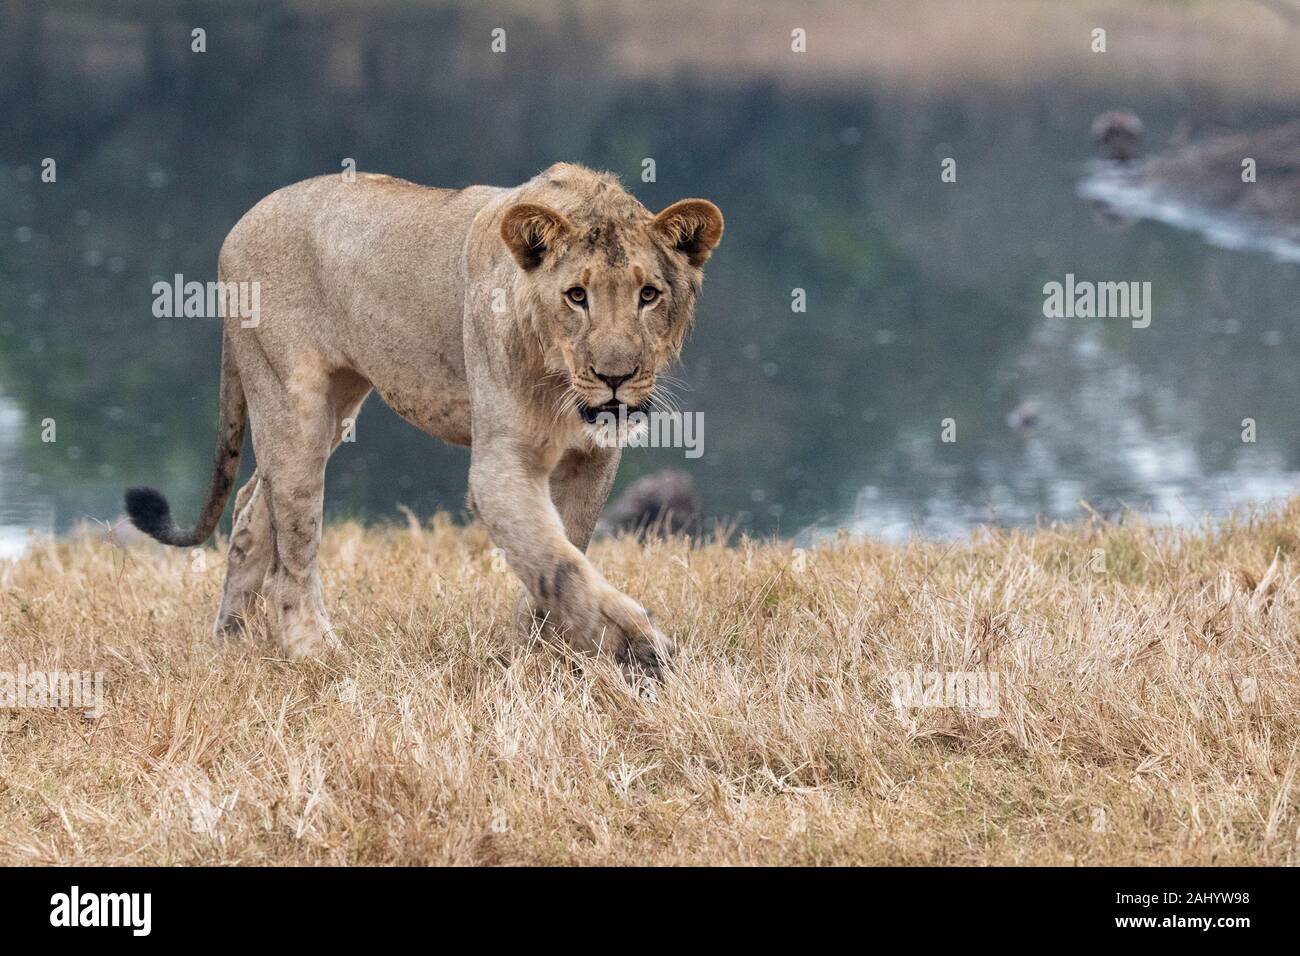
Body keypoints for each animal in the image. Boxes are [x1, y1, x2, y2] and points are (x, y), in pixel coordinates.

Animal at [124, 163, 723, 680]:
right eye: (577, 295)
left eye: (649, 295)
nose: (614, 377)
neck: (561, 383)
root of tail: (242, 221)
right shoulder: (500, 466)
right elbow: (558, 562)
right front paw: (640, 648)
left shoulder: (593, 457)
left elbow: (560, 552)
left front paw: (539, 651)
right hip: (292, 404)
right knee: (292, 549)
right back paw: (314, 652)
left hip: (335, 407)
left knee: (252, 504)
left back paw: (229, 642)